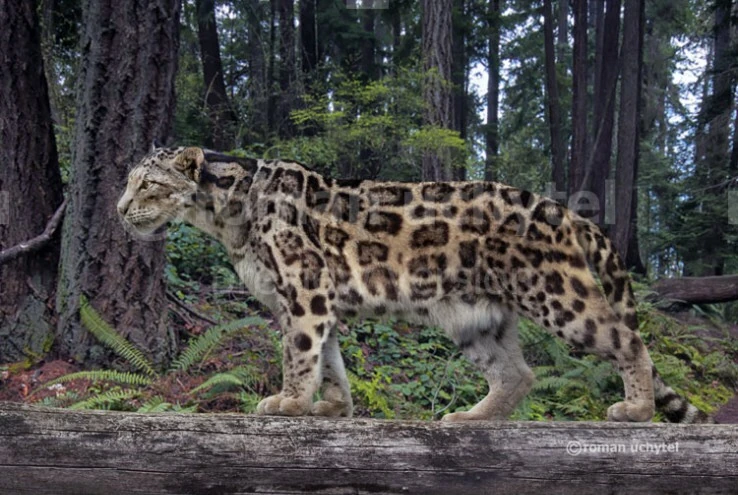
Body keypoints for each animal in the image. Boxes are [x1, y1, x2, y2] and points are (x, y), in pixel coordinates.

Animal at [117, 146, 711, 423]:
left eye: (147, 185)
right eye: (130, 183)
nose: (120, 209)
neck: (225, 216)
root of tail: (561, 209)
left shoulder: (304, 289)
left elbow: (300, 354)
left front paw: (288, 402)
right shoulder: (309, 300)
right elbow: (329, 359)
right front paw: (332, 407)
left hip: (557, 295)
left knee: (628, 340)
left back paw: (635, 410)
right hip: (473, 317)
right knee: (517, 373)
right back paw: (471, 419)